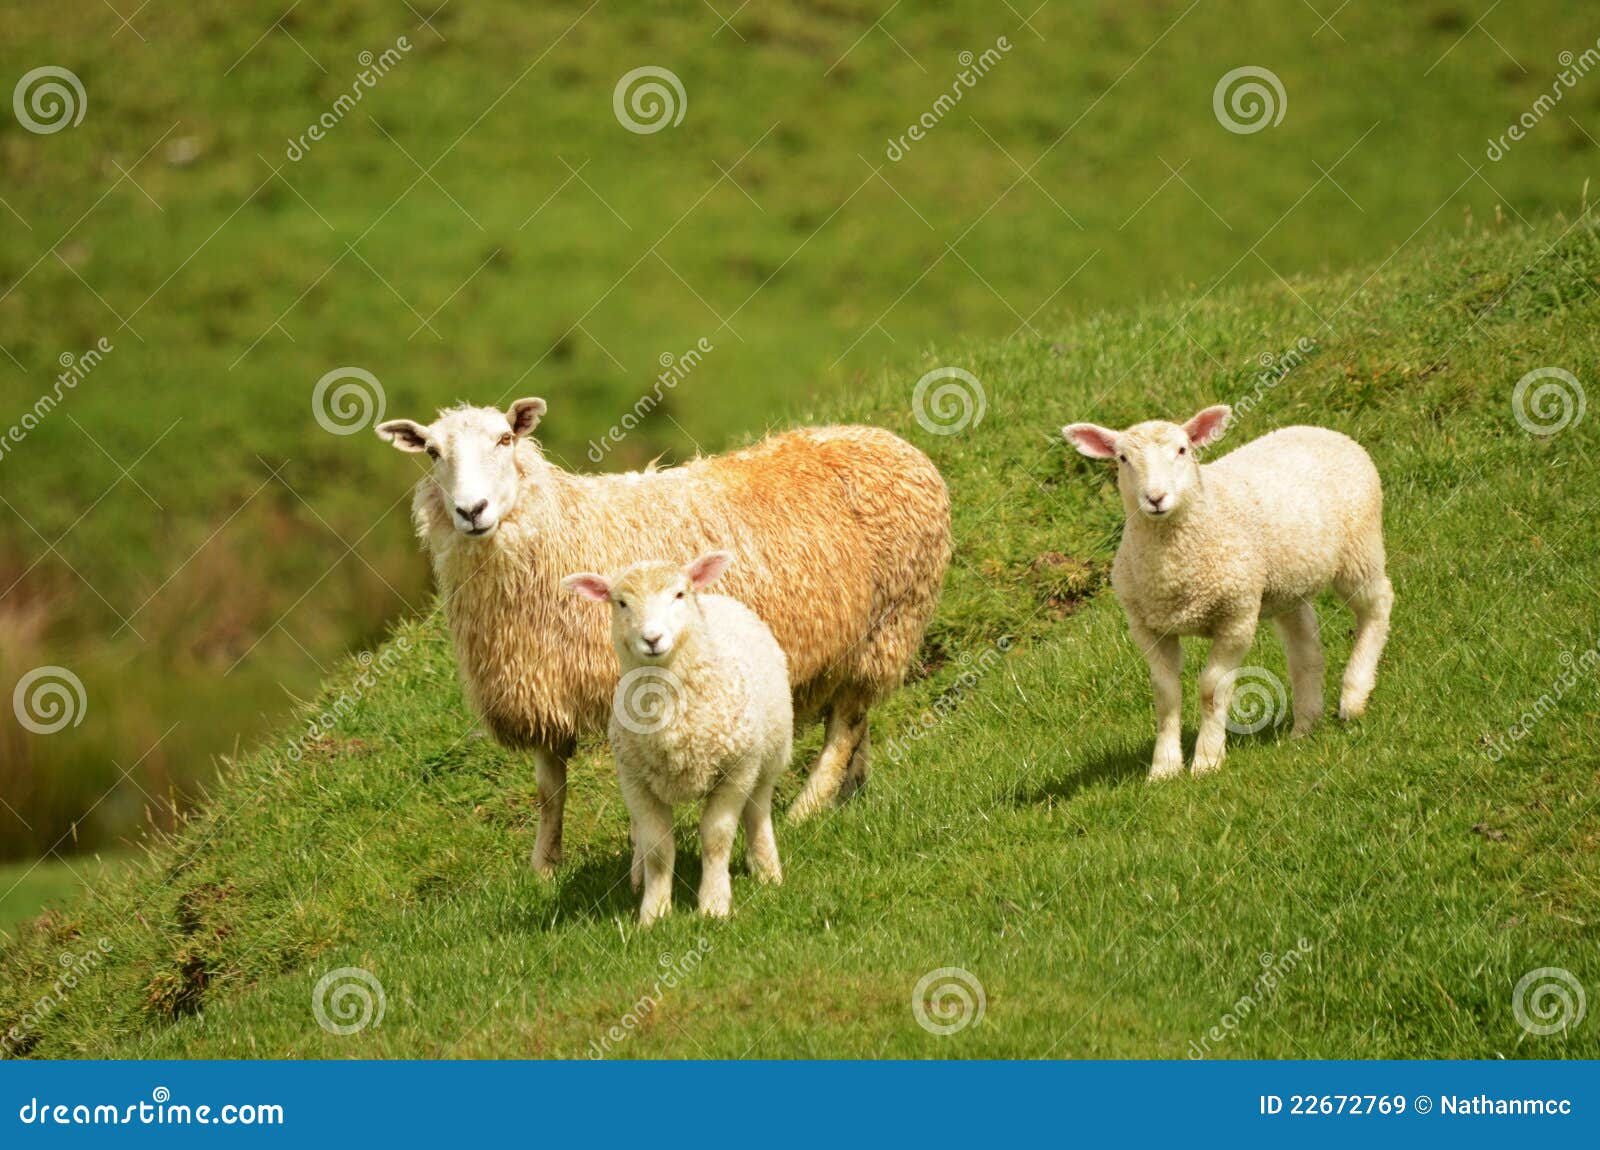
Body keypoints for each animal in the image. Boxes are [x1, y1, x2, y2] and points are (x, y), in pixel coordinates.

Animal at [375, 398, 950, 873]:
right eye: (432, 452)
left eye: (504, 440)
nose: (471, 512)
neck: (560, 532)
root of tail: (889, 441)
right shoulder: (541, 689)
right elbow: (548, 791)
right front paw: (543, 867)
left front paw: (636, 866)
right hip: (852, 642)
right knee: (853, 716)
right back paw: (851, 789)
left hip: (891, 623)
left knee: (845, 725)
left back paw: (806, 810)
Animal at [562, 551, 790, 925]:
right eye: (621, 602)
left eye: (679, 594)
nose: (652, 638)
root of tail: (716, 596)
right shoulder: (635, 781)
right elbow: (657, 848)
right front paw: (653, 913)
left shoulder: (736, 771)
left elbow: (715, 838)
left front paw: (713, 905)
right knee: (640, 834)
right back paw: (636, 877)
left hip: (768, 755)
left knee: (758, 812)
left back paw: (767, 871)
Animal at [1062, 405, 1393, 779]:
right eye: (1122, 458)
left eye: (1182, 450)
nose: (1155, 498)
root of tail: (1321, 430)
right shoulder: (1148, 627)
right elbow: (1165, 695)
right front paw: (1164, 767)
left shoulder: (1236, 617)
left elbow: (1212, 689)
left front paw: (1207, 760)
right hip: (1287, 581)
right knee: (1305, 647)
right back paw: (1305, 726)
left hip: (1359, 548)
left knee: (1377, 605)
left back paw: (1354, 695)